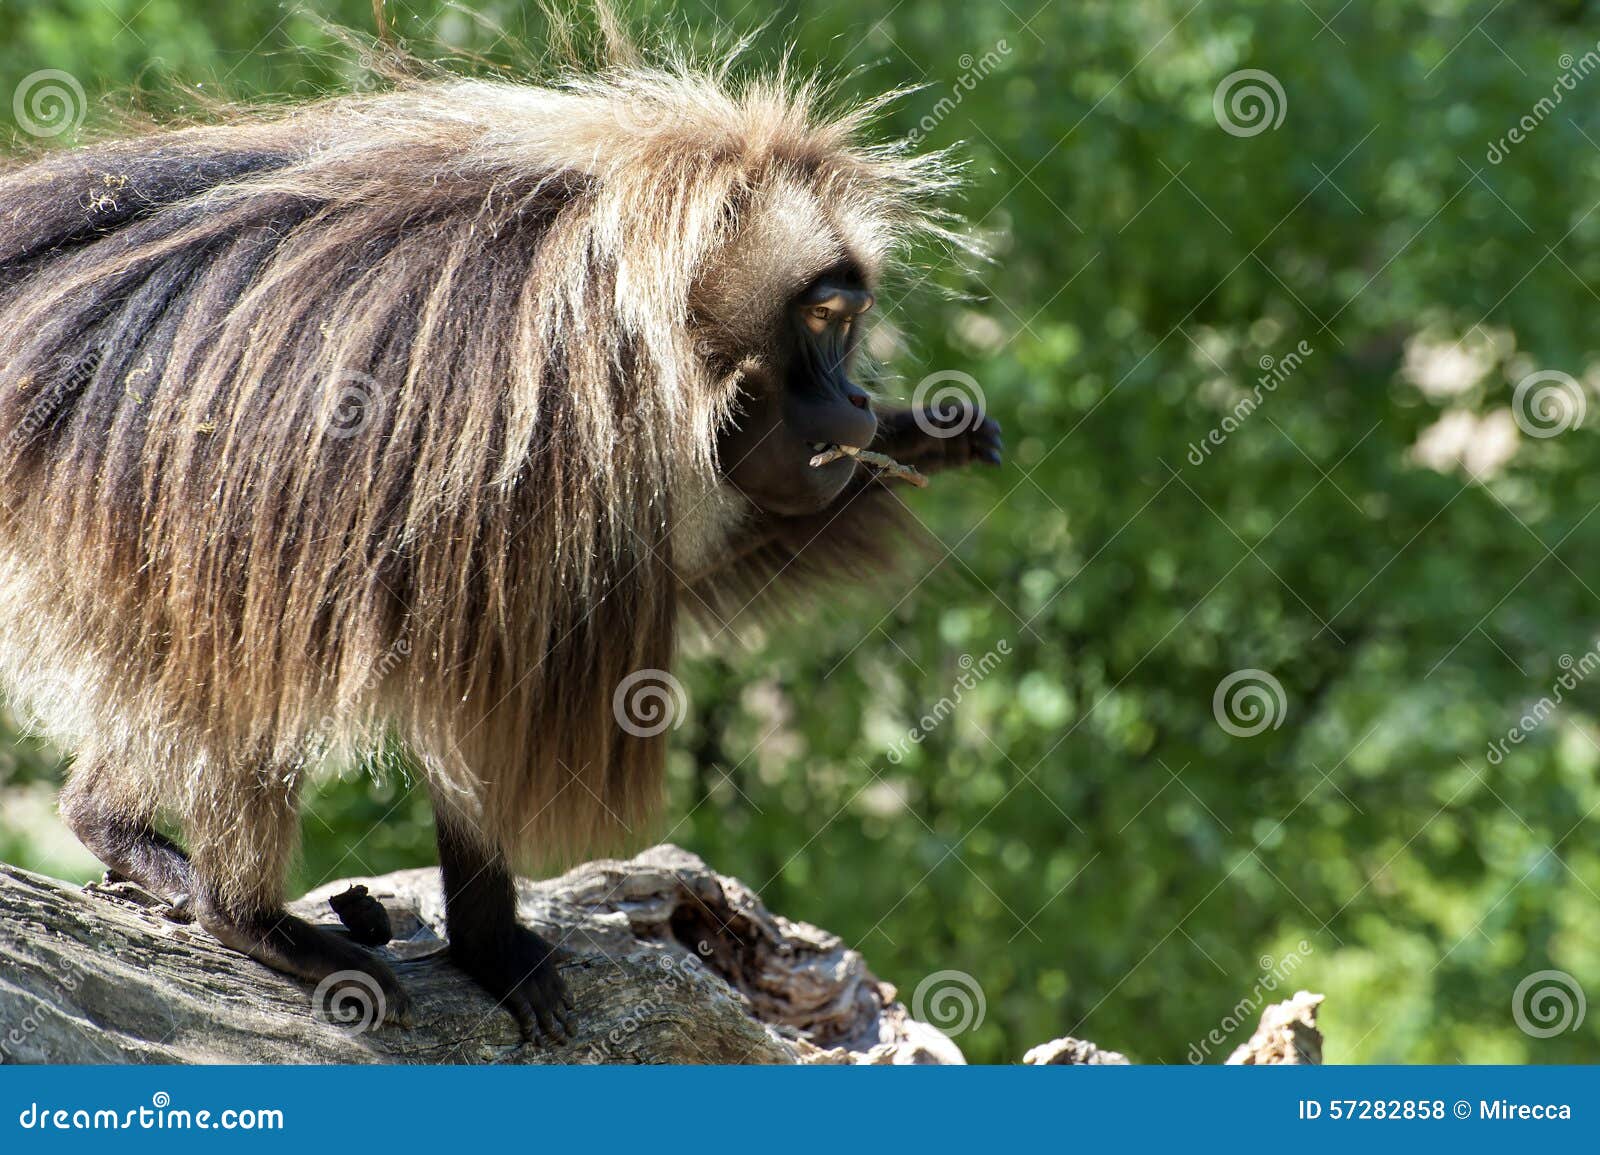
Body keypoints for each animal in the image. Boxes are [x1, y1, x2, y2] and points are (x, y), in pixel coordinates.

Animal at [0, 61, 1001, 1044]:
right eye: (826, 319)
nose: (859, 404)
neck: (645, 305)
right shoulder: (551, 428)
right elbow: (488, 677)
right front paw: (490, 943)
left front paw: (927, 435)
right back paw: (242, 916)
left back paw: (113, 828)